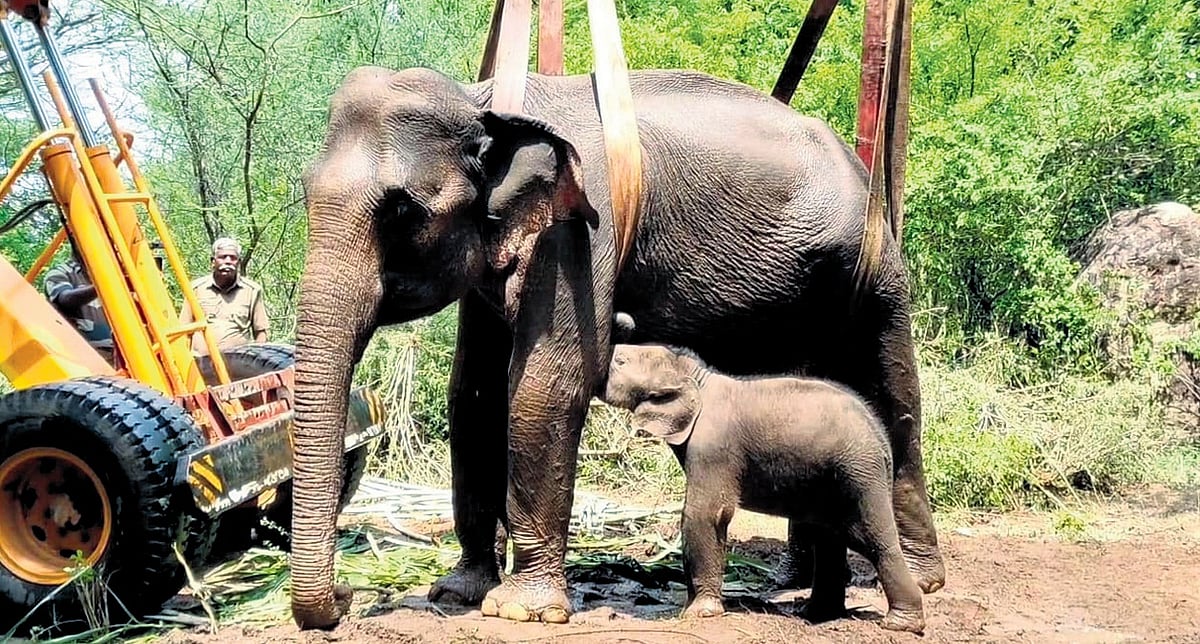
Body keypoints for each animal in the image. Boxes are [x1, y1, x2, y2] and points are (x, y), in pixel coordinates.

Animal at [602, 341, 926, 634]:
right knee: (829, 539)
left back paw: (900, 625)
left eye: (619, 361)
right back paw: (816, 614)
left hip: (859, 474)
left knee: (871, 539)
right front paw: (693, 608)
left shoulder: (714, 447)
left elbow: (706, 514)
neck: (698, 376)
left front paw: (699, 614)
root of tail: (881, 440)